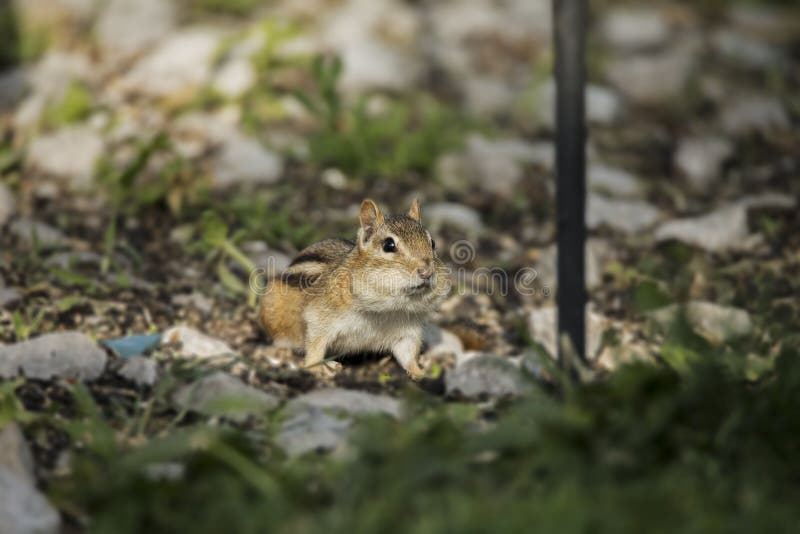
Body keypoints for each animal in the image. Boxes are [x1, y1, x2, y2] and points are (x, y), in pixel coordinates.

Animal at [258, 198, 449, 379]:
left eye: (432, 243)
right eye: (388, 245)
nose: (427, 272)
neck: (388, 309)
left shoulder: (408, 332)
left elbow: (408, 356)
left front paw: (420, 373)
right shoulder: (318, 316)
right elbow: (315, 345)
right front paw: (316, 368)